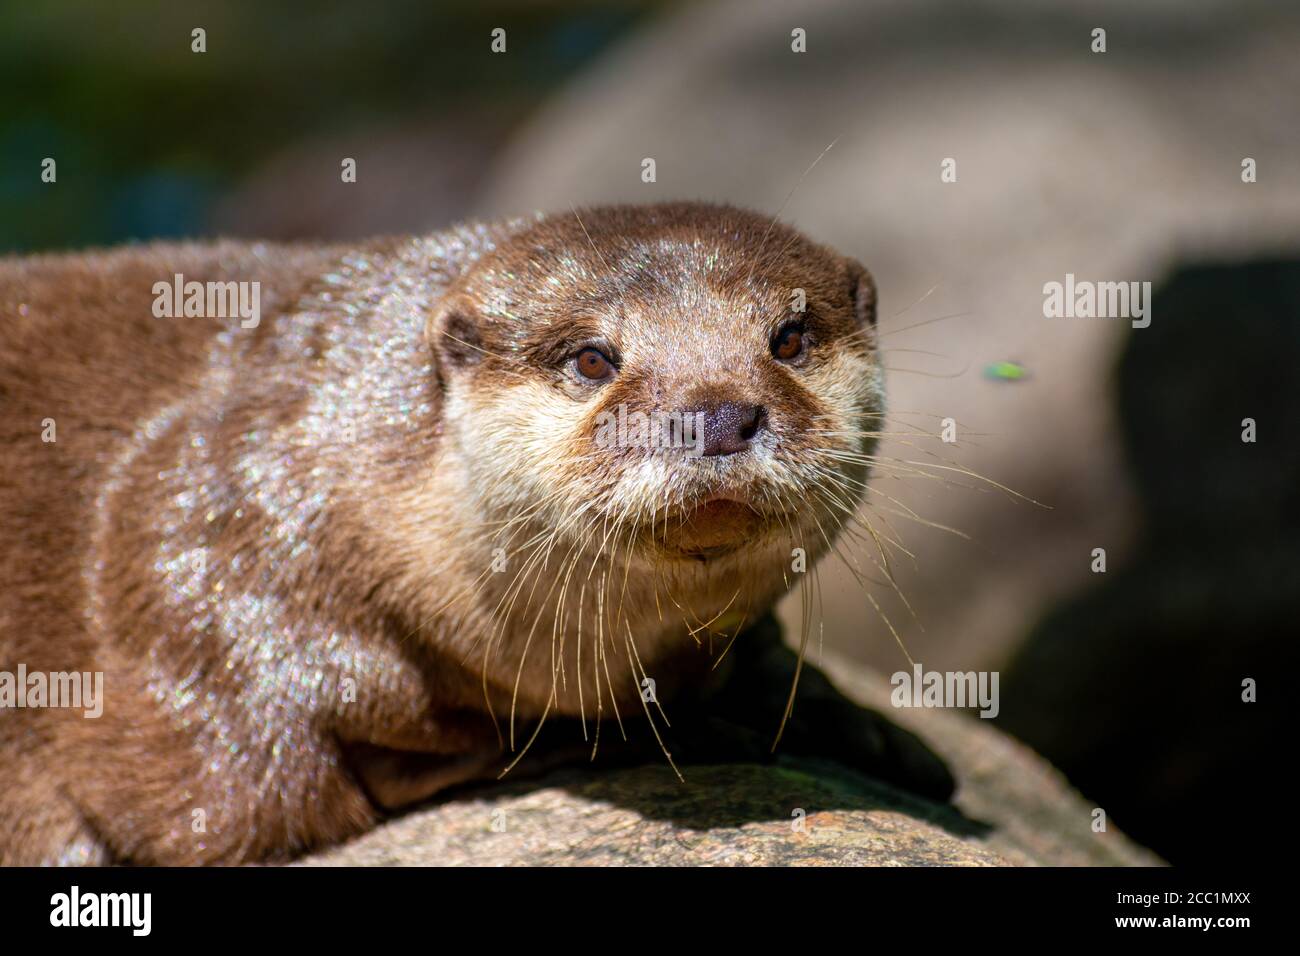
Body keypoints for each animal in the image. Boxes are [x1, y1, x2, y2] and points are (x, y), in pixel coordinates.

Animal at [0, 202, 951, 865]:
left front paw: (860, 724)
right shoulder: (193, 531)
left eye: (789, 338)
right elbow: (229, 803)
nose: (716, 412)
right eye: (592, 359)